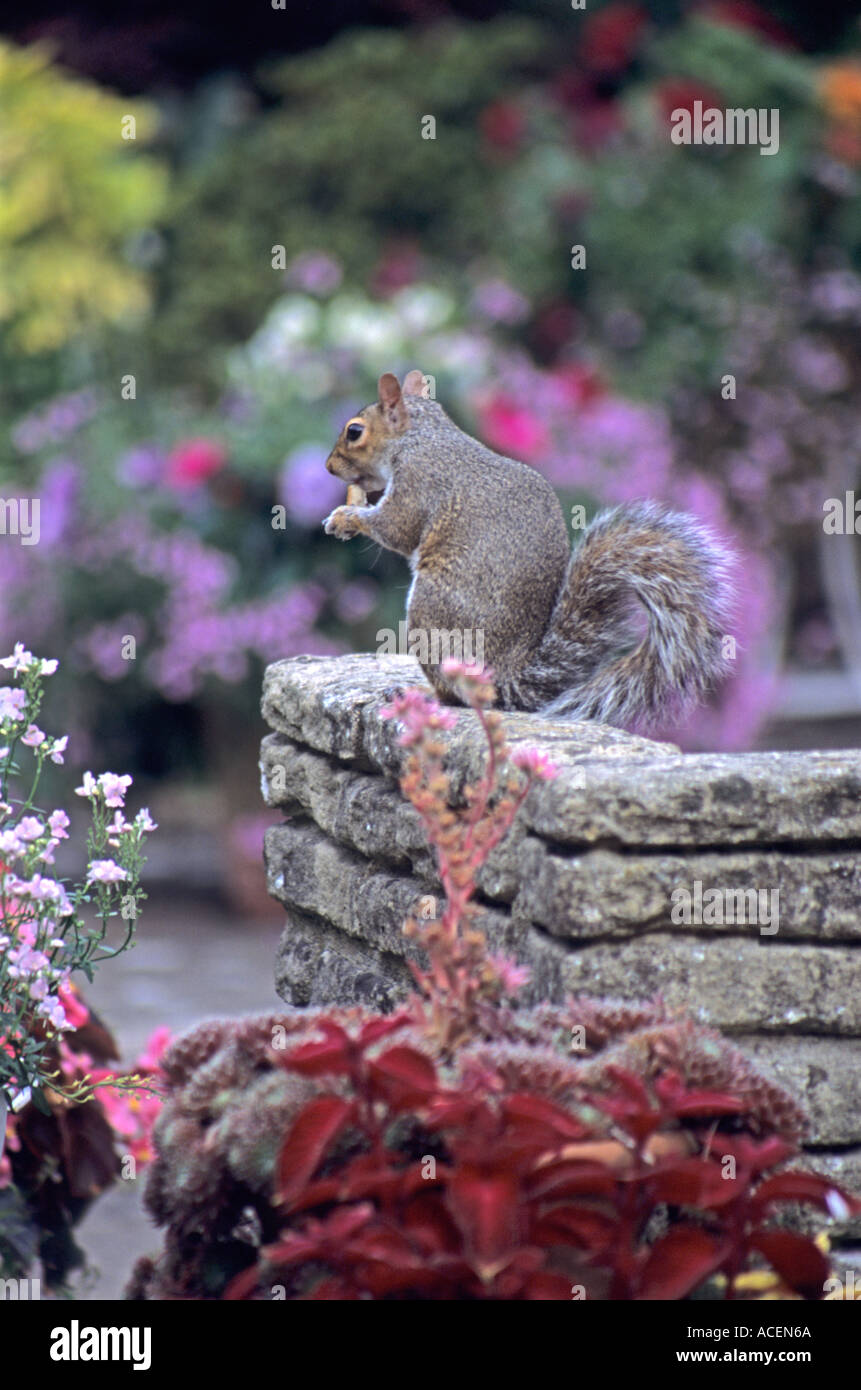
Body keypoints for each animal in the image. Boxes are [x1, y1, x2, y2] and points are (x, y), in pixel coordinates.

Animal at [323, 370, 734, 728]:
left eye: (355, 432)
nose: (328, 467)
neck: (421, 436)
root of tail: (505, 679)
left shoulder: (419, 482)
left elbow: (396, 528)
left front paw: (347, 517)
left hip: (430, 614)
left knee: (453, 695)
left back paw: (421, 692)